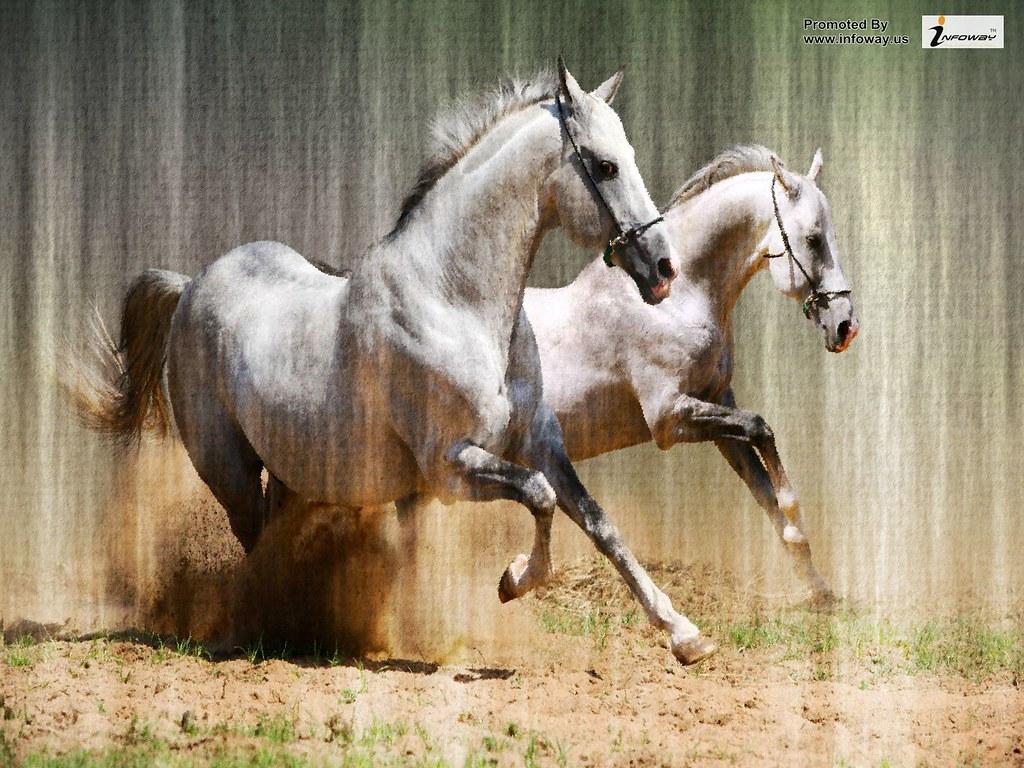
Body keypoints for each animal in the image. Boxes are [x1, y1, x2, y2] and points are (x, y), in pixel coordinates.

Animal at [71, 61, 721, 665]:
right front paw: (514, 581)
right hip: (227, 469)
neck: (454, 301)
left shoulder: (540, 440)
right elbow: (538, 497)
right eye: (605, 166)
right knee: (253, 543)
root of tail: (190, 286)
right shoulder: (449, 466)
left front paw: (686, 636)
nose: (664, 268)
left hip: (293, 470)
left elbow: (596, 520)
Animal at [524, 146, 859, 617]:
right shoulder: (670, 418)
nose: (845, 327)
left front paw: (820, 590)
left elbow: (763, 488)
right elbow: (762, 429)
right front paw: (798, 520)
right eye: (813, 239)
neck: (678, 301)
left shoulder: (717, 409)